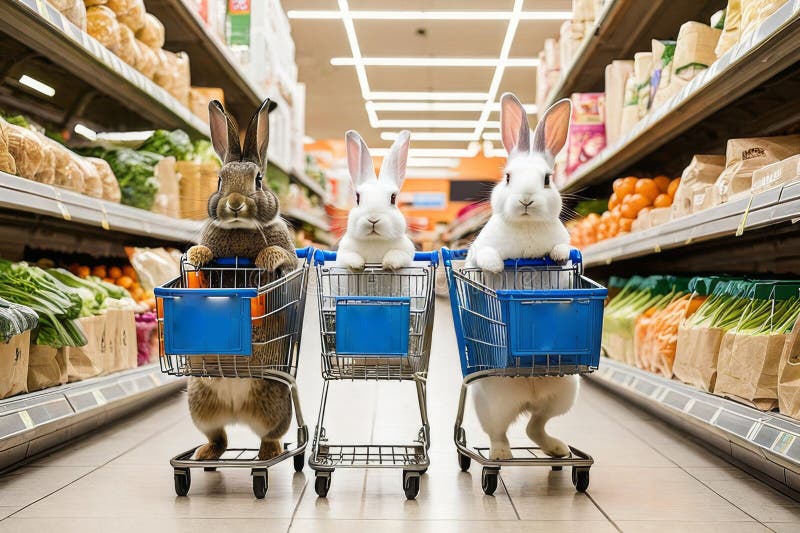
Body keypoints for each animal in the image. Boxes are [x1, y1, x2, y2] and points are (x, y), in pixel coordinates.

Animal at [185, 99, 295, 462]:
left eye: (258, 180)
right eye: (219, 181)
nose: (234, 204)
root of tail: (236, 410)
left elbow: (283, 259)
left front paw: (267, 258)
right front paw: (197, 254)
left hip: (274, 406)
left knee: (271, 435)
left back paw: (268, 453)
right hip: (201, 405)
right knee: (219, 437)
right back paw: (205, 454)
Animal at [336, 130, 416, 270]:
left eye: (393, 198)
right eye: (357, 198)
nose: (373, 219)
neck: (374, 240)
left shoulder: (407, 253)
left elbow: (397, 253)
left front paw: (390, 262)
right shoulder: (342, 254)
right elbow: (349, 256)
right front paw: (356, 264)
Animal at [467, 93, 578, 460]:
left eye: (547, 179)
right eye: (507, 177)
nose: (526, 200)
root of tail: (527, 388)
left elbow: (563, 259)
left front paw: (559, 254)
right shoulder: (477, 253)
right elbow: (484, 258)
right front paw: (494, 265)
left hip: (562, 394)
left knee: (535, 426)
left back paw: (558, 449)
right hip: (494, 404)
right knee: (499, 432)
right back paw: (501, 455)